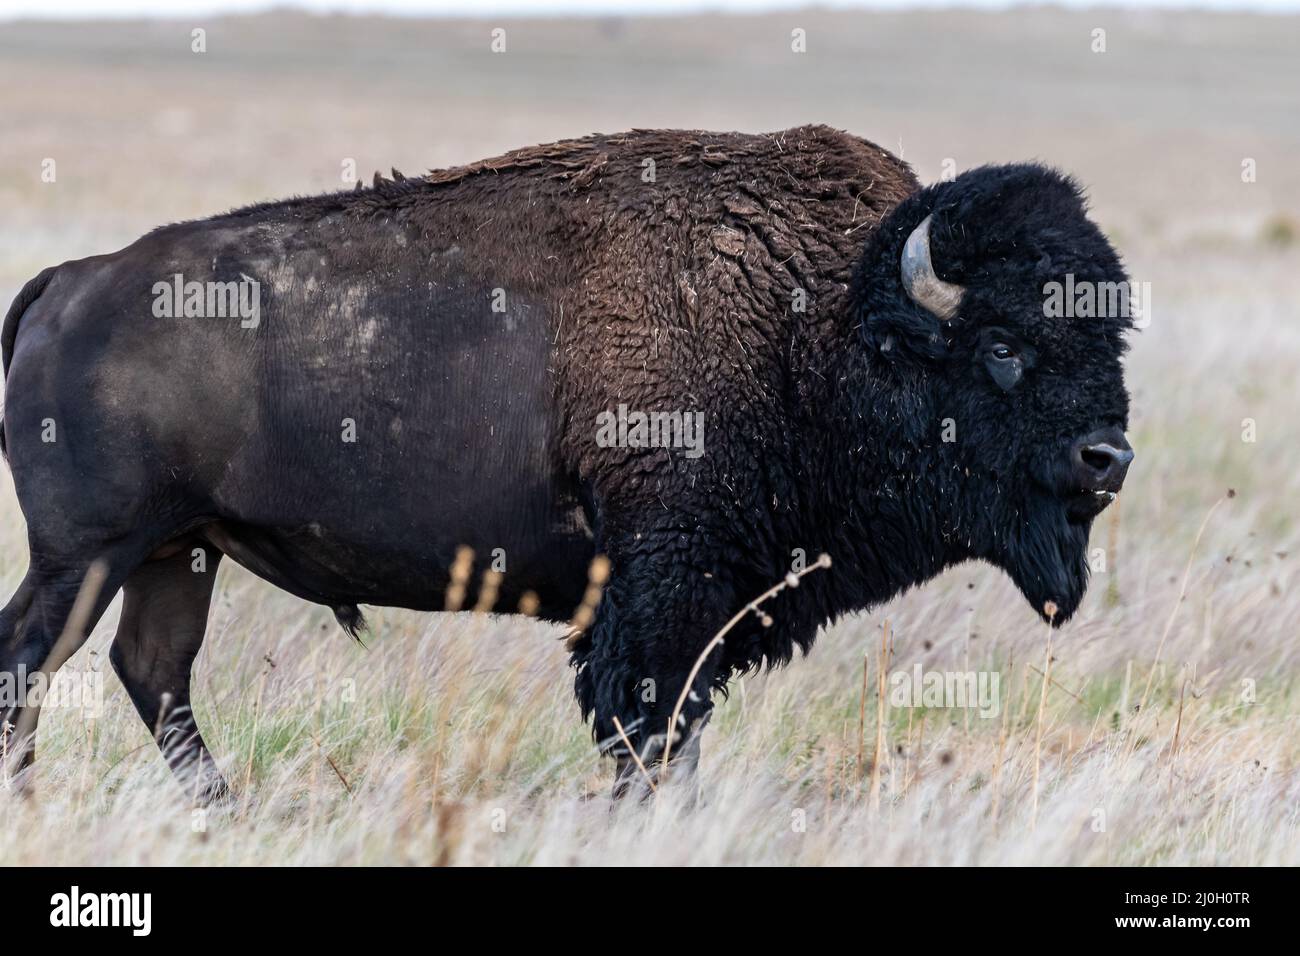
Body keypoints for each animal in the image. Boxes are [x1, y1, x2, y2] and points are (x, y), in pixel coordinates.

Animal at [0, 126, 1133, 800]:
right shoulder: (659, 601)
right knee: (31, 658)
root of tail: (70, 281)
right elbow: (644, 727)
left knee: (153, 672)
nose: (1107, 456)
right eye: (1002, 346)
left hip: (179, 553)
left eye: (1110, 339)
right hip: (89, 555)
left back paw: (221, 809)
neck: (825, 320)